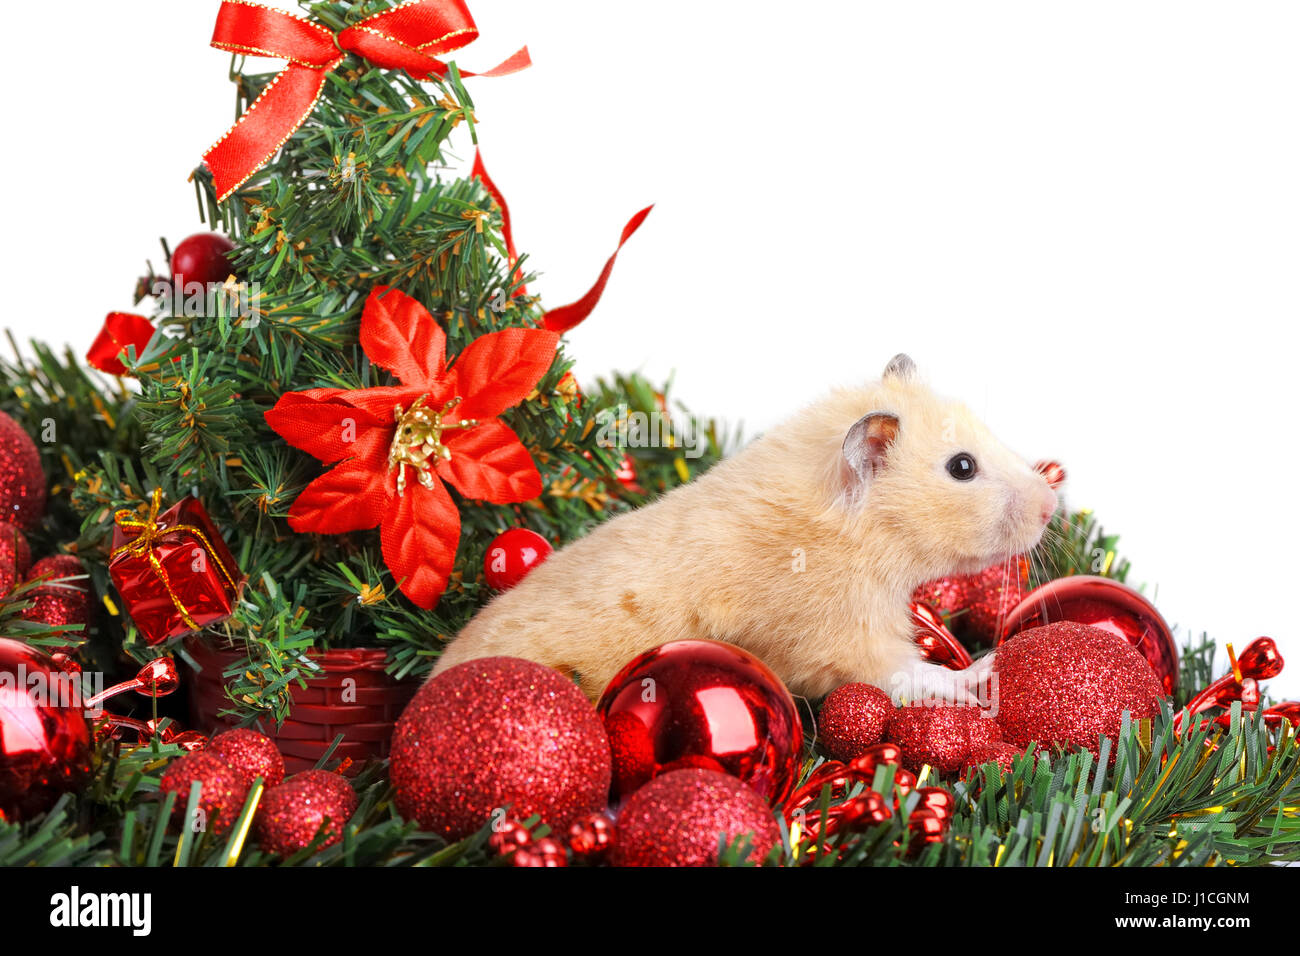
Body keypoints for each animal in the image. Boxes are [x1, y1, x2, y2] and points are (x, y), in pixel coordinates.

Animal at [432, 354, 1058, 702]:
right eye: (962, 467)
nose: (1053, 503)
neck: (850, 530)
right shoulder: (836, 642)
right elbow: (909, 674)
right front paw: (983, 671)